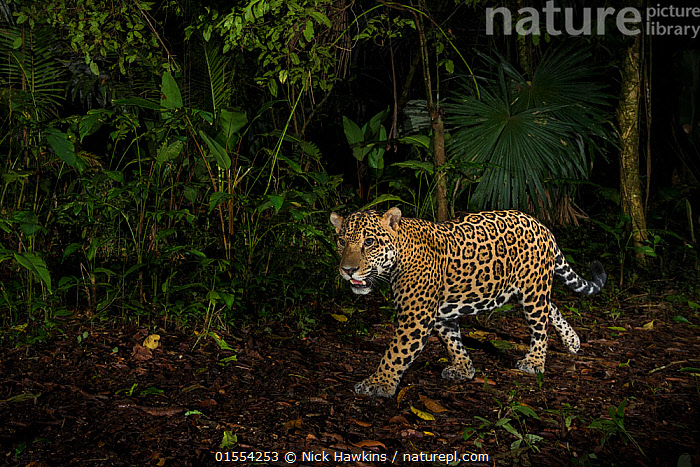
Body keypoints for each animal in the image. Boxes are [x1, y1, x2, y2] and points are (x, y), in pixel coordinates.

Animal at [330, 207, 606, 398]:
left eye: (369, 242)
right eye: (342, 242)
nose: (348, 270)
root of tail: (542, 225)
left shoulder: (416, 318)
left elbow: (395, 353)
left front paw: (379, 383)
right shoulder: (441, 312)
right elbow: (452, 341)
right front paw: (463, 368)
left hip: (532, 290)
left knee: (540, 327)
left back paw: (535, 362)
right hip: (529, 289)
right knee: (552, 307)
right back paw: (572, 341)